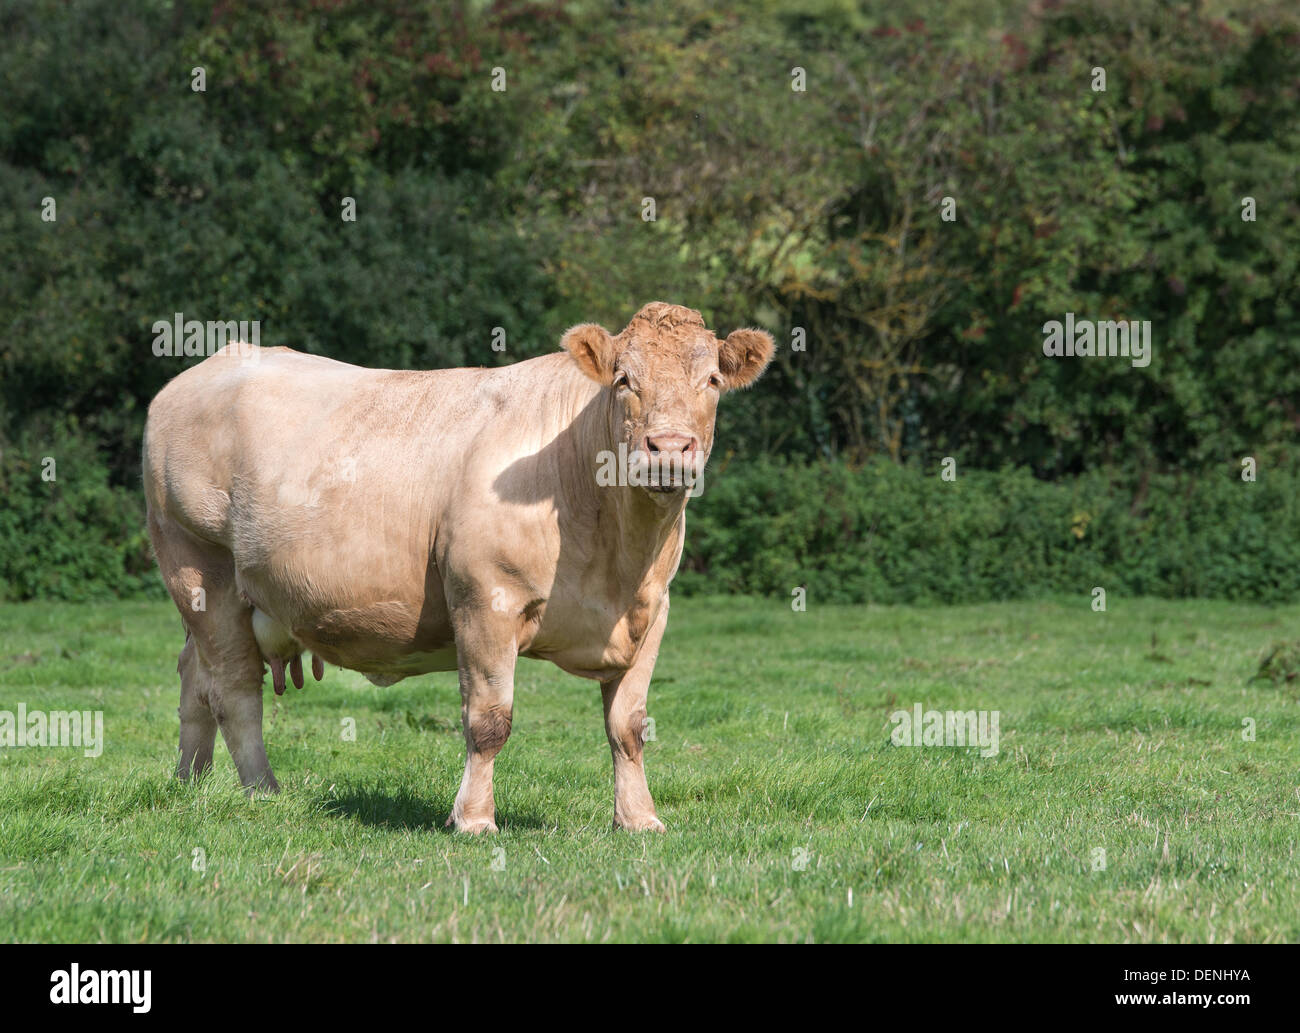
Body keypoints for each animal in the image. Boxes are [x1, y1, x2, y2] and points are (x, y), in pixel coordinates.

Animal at [142, 301, 773, 832]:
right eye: (624, 380)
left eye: (711, 381)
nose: (669, 448)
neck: (616, 554)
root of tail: (206, 367)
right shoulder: (484, 598)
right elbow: (489, 721)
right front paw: (473, 819)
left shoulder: (651, 610)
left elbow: (629, 726)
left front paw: (639, 819)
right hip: (198, 567)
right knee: (233, 690)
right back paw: (262, 790)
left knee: (195, 678)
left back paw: (190, 783)